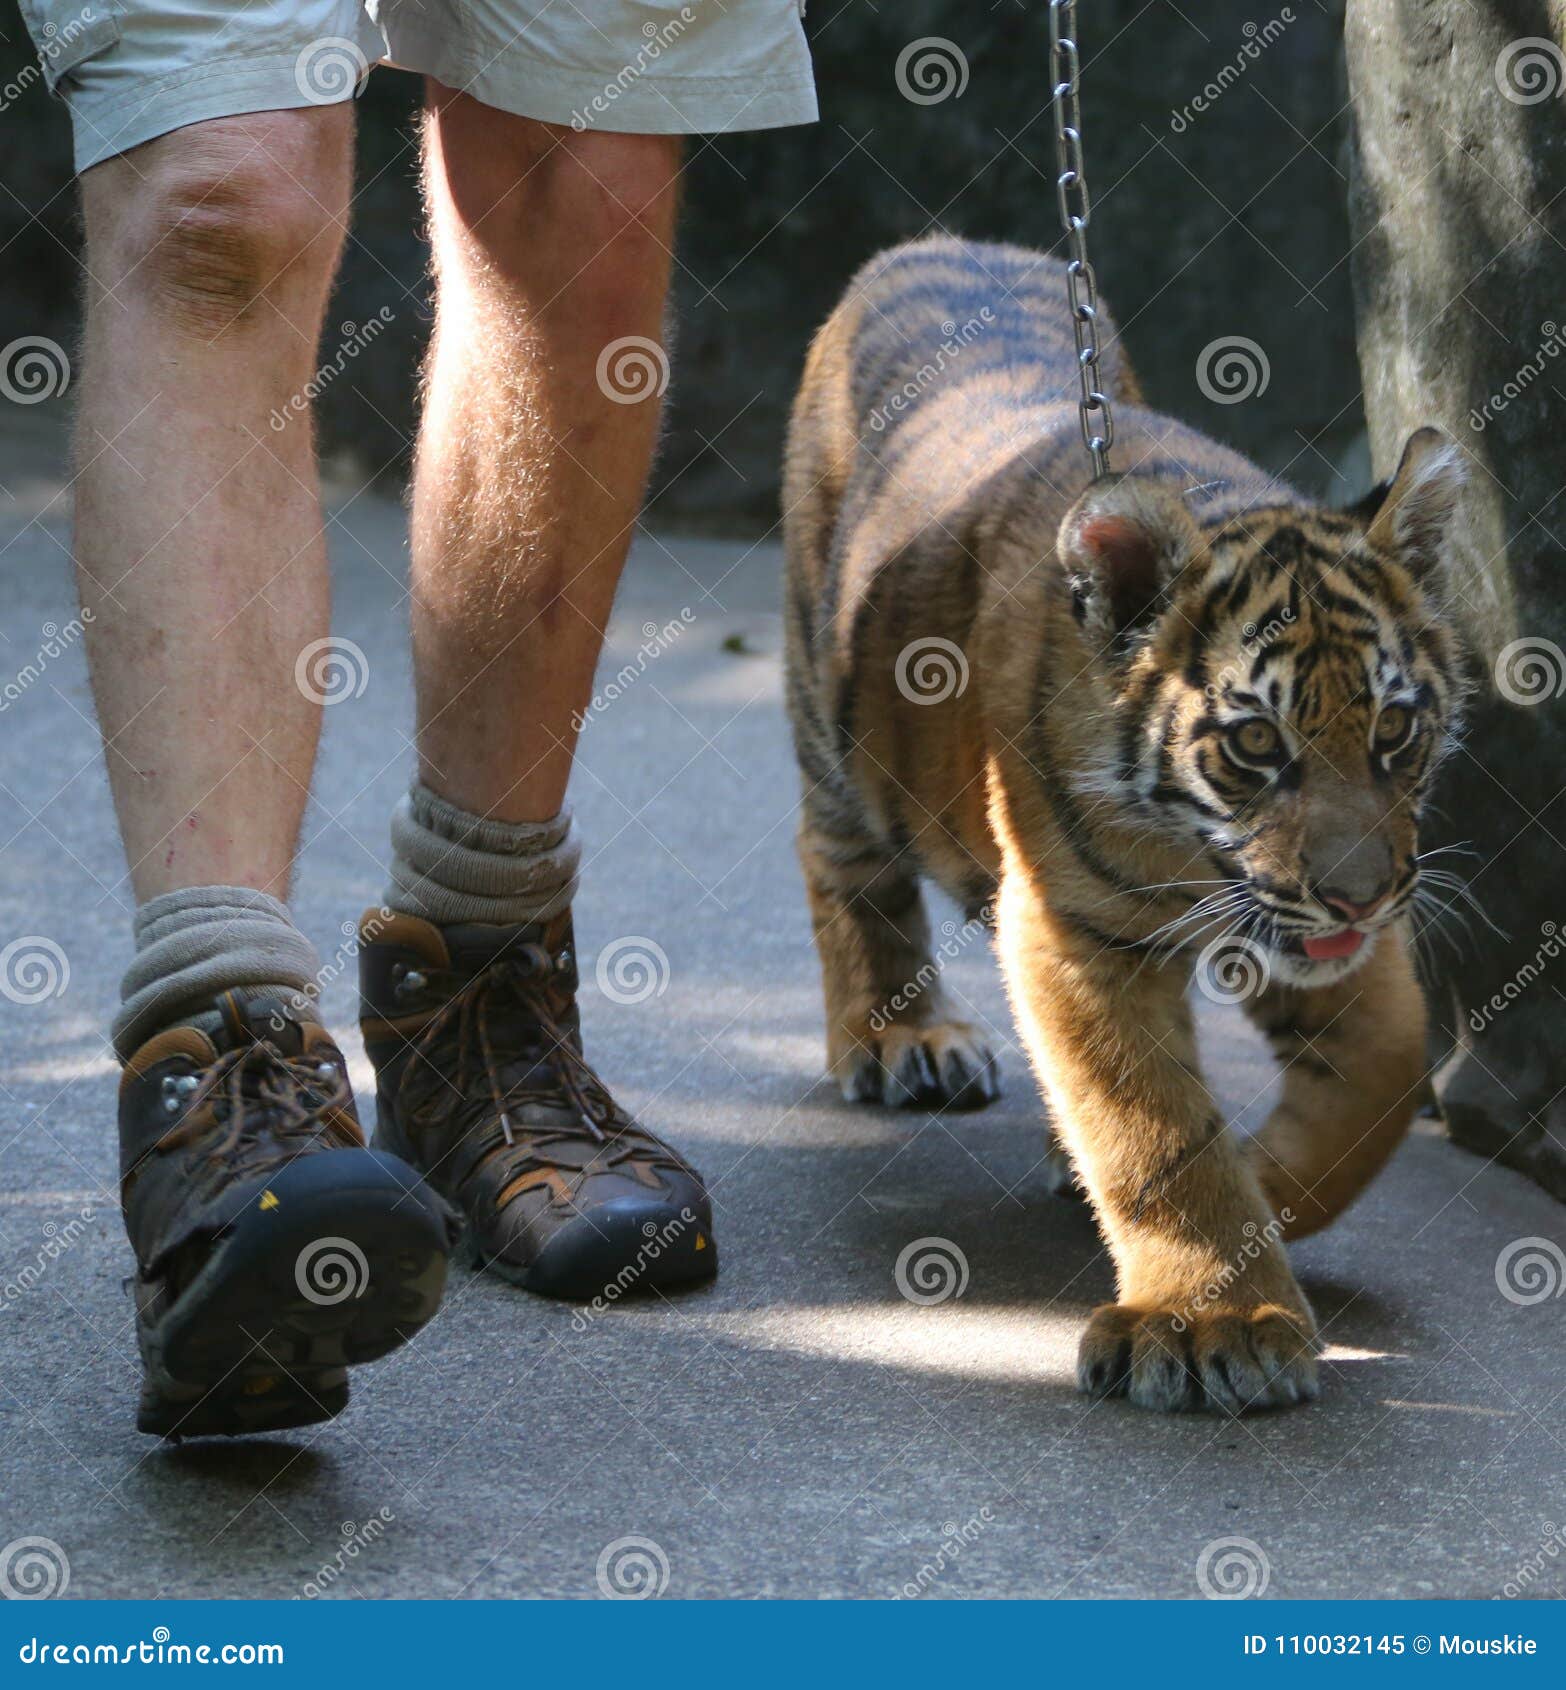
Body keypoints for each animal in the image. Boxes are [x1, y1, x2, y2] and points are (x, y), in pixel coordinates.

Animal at [782, 234, 1466, 1415]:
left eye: (1394, 727)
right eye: (1256, 744)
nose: (1358, 893)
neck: (1187, 855)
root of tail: (937, 243)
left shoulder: (1328, 928)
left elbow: (1382, 1065)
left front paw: (1269, 1183)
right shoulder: (1072, 930)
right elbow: (1153, 1128)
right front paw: (1213, 1321)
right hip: (831, 709)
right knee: (842, 862)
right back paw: (900, 1037)